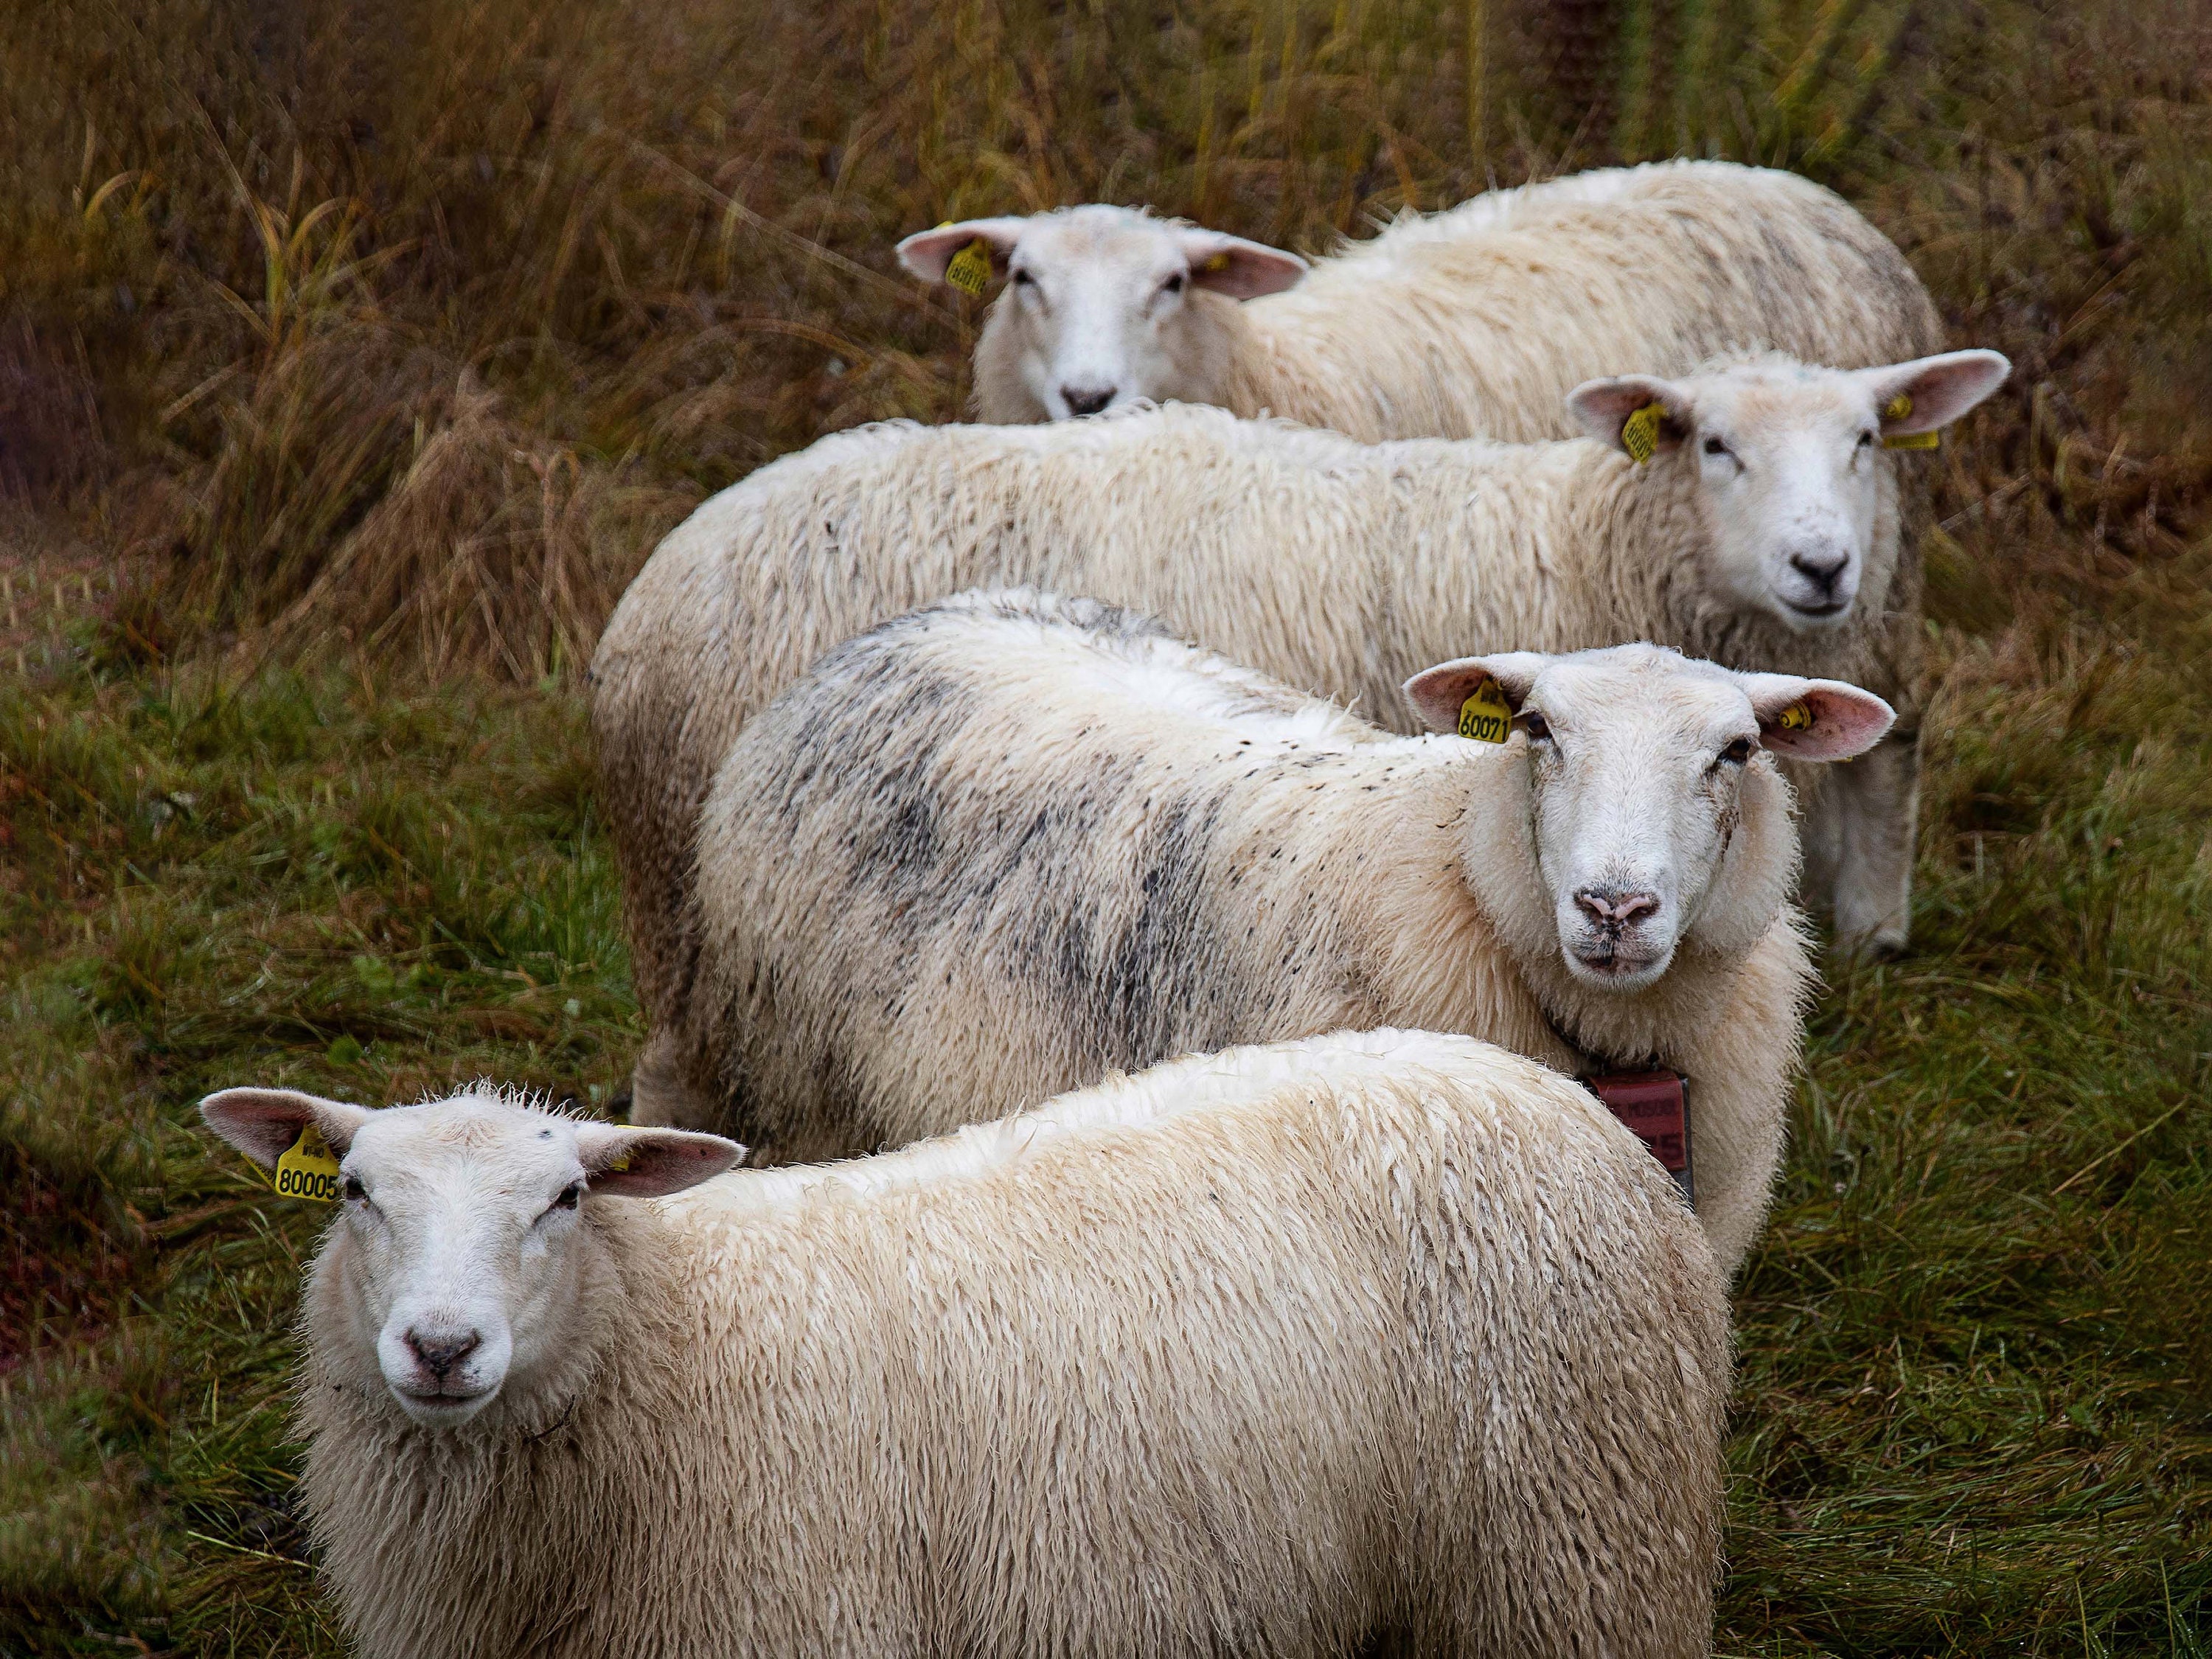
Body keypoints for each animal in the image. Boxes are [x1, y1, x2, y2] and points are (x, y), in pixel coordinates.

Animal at [592, 349, 2007, 1127]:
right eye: (1716, 443)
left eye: (1867, 441)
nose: (1825, 568)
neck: (1557, 536)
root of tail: (675, 555)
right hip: (703, 941)